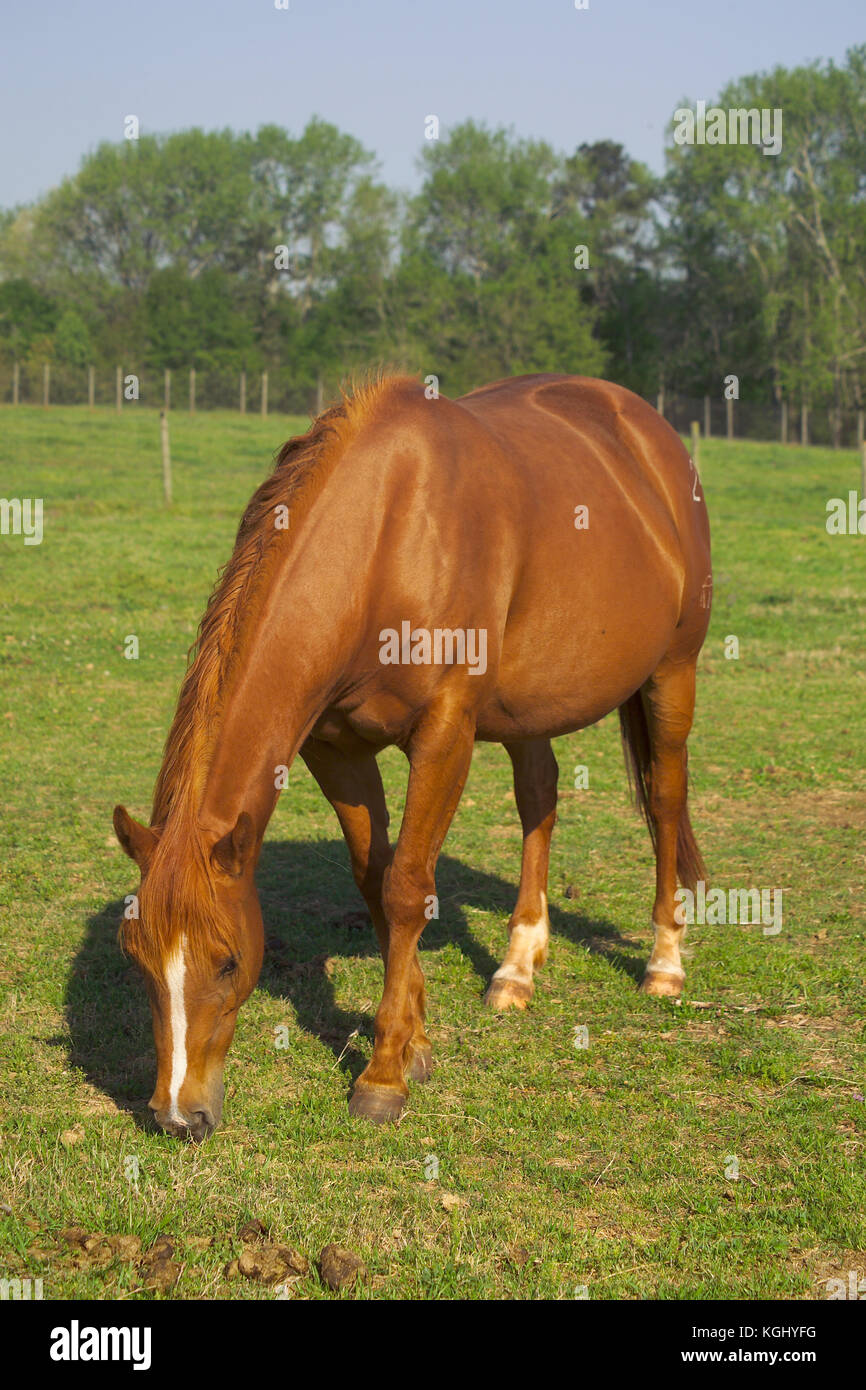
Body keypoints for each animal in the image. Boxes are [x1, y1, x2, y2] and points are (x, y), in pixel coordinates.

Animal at [114, 372, 711, 1139]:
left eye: (227, 962)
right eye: (137, 960)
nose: (177, 1116)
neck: (390, 540)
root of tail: (646, 430)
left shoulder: (445, 735)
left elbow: (405, 888)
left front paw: (383, 1077)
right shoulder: (335, 748)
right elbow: (375, 879)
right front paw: (414, 1042)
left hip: (673, 671)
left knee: (664, 799)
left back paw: (665, 963)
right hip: (529, 710)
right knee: (539, 800)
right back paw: (517, 966)